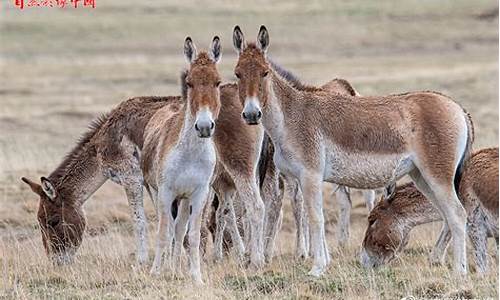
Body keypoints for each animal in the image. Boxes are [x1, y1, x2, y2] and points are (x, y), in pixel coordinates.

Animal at [231, 25, 472, 276]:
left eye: (265, 73)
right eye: (237, 74)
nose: (251, 115)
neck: (291, 116)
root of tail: (457, 108)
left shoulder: (310, 176)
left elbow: (316, 218)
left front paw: (316, 269)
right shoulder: (305, 178)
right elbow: (316, 217)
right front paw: (325, 263)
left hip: (437, 176)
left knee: (457, 214)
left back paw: (459, 271)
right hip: (422, 177)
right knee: (447, 215)